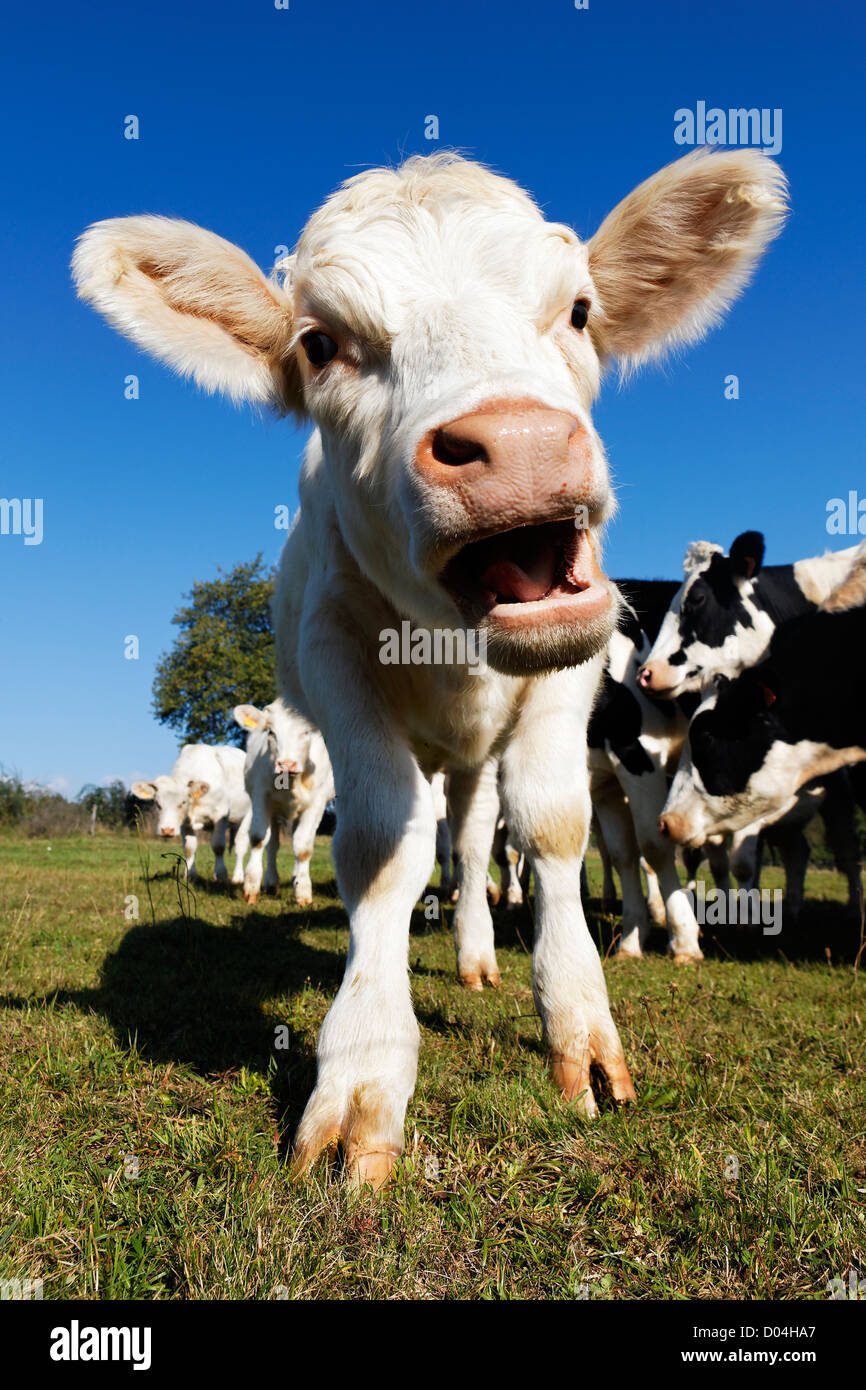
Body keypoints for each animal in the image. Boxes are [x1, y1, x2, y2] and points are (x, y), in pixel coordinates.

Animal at [132, 744, 251, 883]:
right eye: (157, 803)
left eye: (183, 802)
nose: (167, 830)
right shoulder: (185, 823)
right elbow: (189, 848)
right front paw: (190, 876)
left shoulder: (220, 815)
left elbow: (218, 846)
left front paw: (221, 875)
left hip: (249, 815)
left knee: (240, 846)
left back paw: (238, 877)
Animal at [233, 701, 335, 907]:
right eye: (271, 732)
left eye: (307, 731)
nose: (286, 764)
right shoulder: (260, 796)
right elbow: (258, 839)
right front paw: (251, 888)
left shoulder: (316, 803)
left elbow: (302, 847)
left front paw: (302, 892)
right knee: (272, 845)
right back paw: (271, 882)